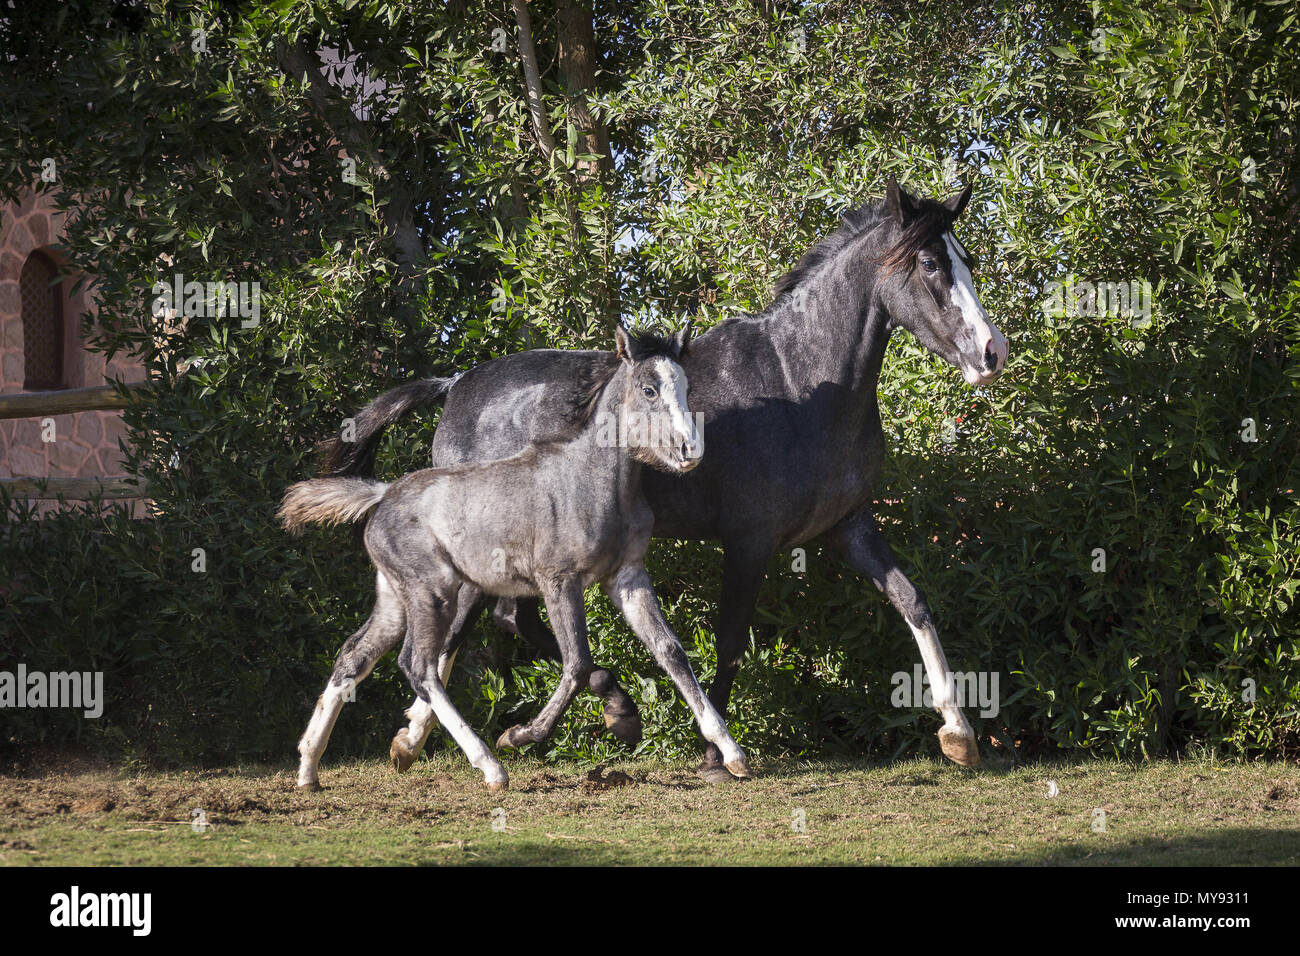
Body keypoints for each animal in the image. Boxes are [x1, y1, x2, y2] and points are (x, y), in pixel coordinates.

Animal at [281, 326, 751, 790]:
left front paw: (732, 754)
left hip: (395, 599)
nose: (689, 450)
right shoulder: (559, 581)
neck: (591, 481)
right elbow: (578, 664)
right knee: (419, 666)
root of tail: (381, 495)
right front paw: (520, 735)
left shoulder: (627, 577)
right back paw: (489, 764)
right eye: (649, 389)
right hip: (431, 593)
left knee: (354, 656)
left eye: (686, 387)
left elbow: (670, 650)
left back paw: (309, 769)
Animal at [321, 177, 1009, 782]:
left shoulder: (850, 526)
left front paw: (958, 734)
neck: (801, 384)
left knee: (480, 628)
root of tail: (456, 386)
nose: (992, 353)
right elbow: (730, 640)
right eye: (930, 264)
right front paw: (716, 753)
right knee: (483, 629)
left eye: (966, 258)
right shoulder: (750, 542)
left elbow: (913, 602)